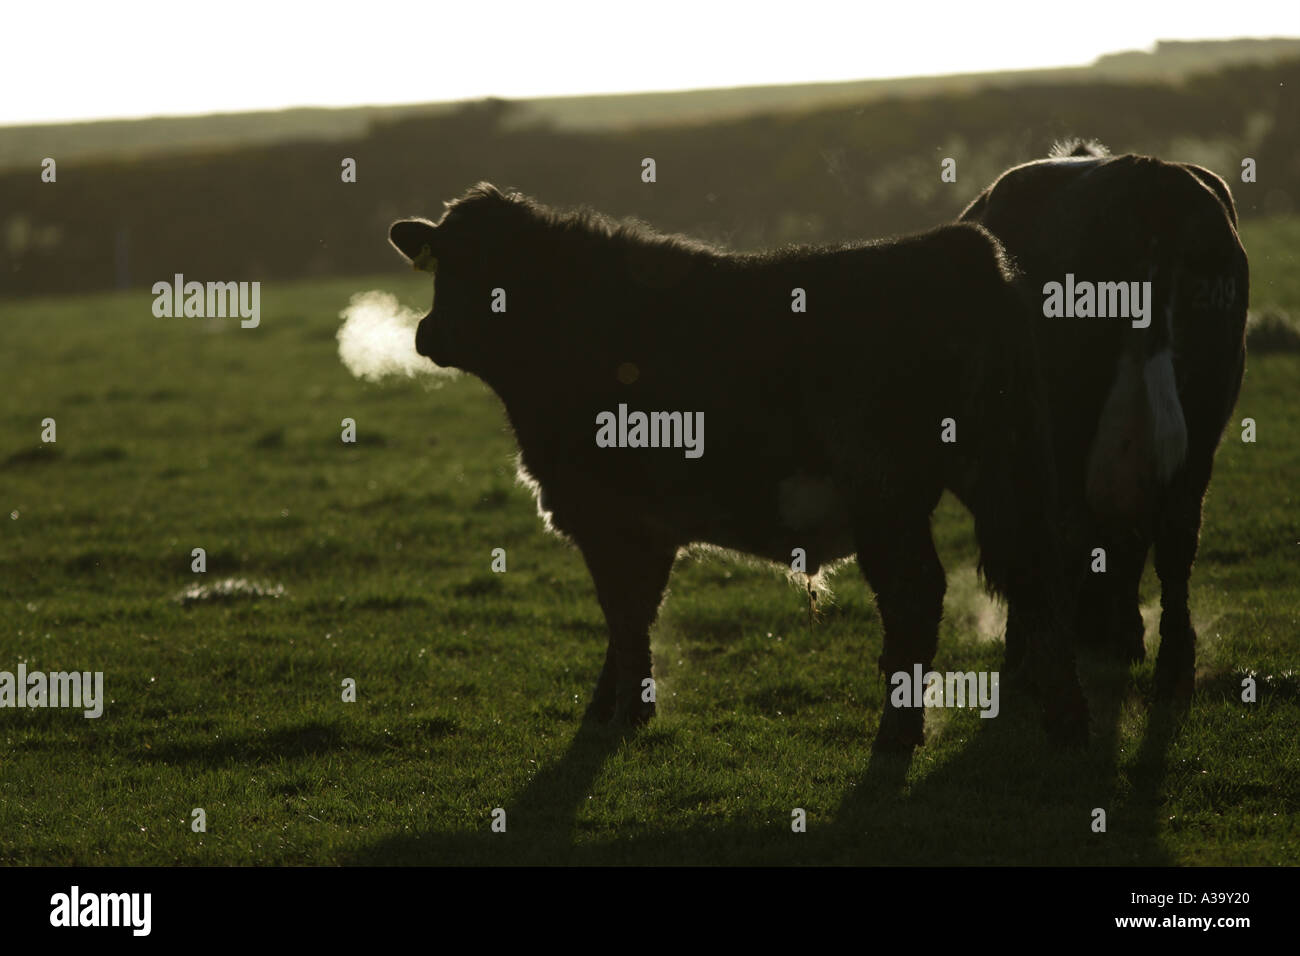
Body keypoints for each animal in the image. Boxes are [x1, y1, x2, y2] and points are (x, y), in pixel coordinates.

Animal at [390, 183, 1088, 750]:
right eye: (442, 263)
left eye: (498, 273)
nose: (429, 333)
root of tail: (961, 246)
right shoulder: (641, 528)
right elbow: (632, 619)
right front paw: (610, 708)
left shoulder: (609, 517)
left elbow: (625, 617)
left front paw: (624, 715)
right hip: (999, 473)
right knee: (1037, 577)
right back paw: (1062, 719)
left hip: (890, 491)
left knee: (917, 594)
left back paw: (898, 733)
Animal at [960, 141, 1249, 700]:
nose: (1095, 635)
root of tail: (1150, 180)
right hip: (1203, 424)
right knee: (1177, 536)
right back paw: (1171, 667)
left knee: (1070, 536)